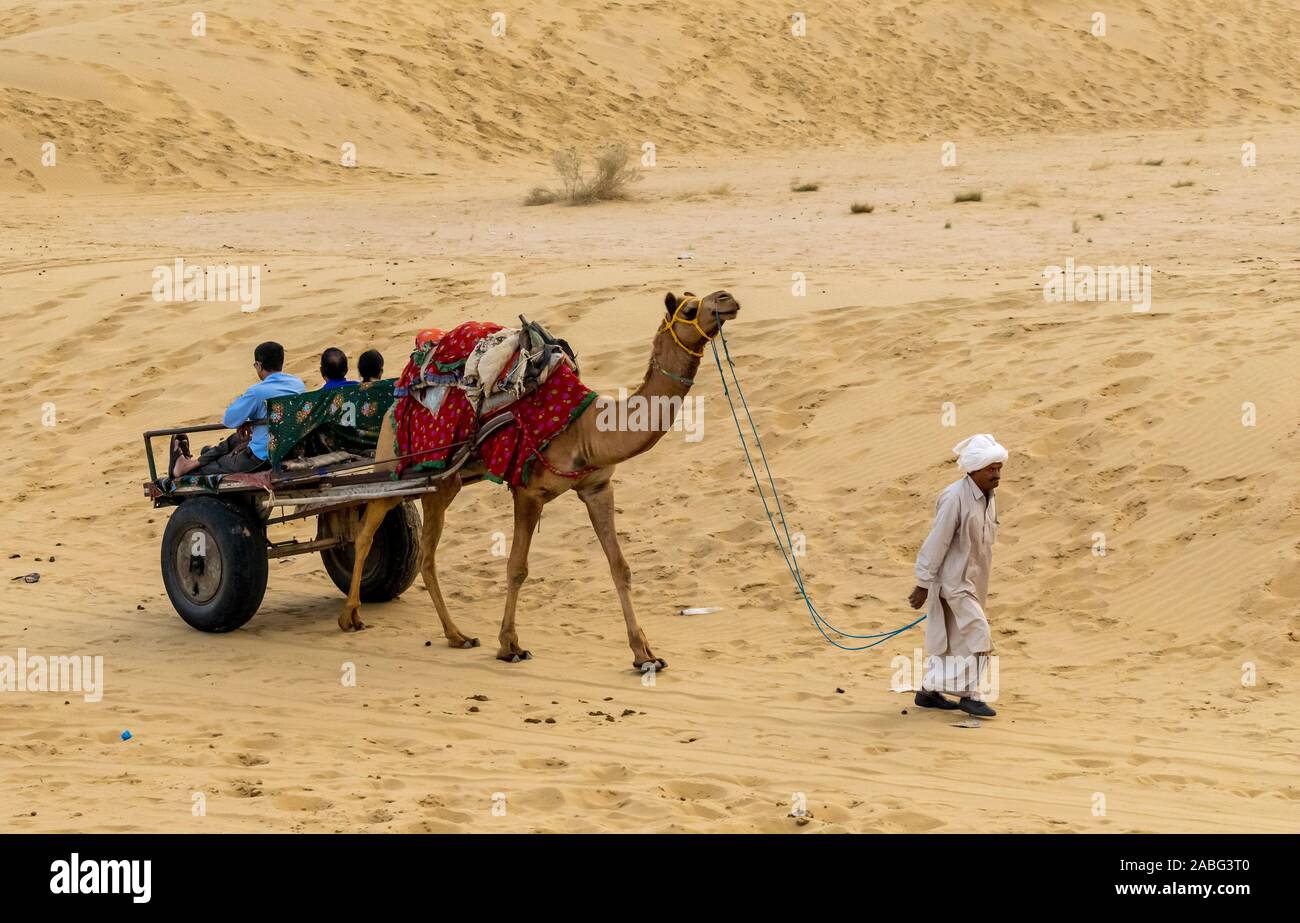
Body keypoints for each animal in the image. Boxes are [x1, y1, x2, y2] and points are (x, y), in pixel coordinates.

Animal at [336, 290, 740, 670]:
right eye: (689, 309)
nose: (728, 299)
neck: (586, 428)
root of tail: (395, 400)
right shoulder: (528, 492)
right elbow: (517, 568)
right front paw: (509, 646)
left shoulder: (597, 487)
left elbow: (620, 567)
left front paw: (644, 655)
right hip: (400, 467)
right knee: (370, 529)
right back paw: (351, 616)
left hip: (444, 482)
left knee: (425, 553)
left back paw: (456, 635)